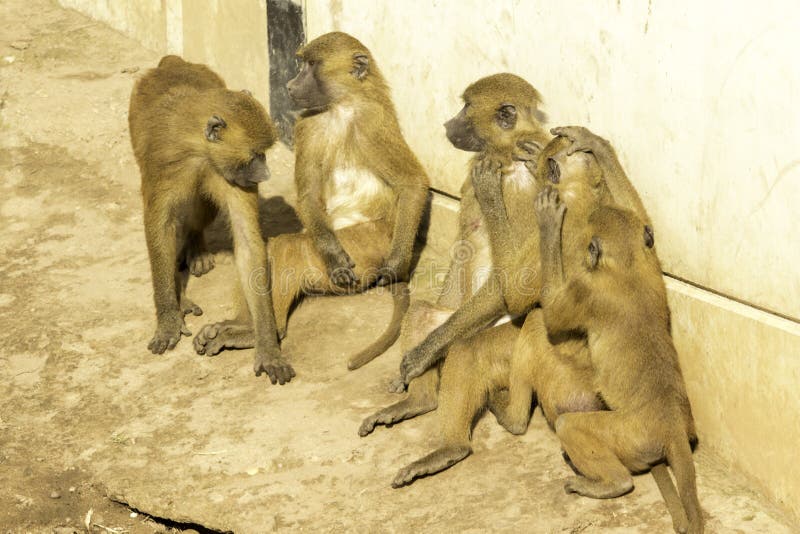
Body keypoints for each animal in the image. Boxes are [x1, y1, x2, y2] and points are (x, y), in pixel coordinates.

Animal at [129, 55, 295, 385]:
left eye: (264, 154)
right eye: (256, 155)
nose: (265, 175)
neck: (200, 149)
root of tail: (172, 62)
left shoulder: (231, 175)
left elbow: (247, 241)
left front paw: (267, 346)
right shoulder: (165, 162)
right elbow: (160, 228)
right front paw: (168, 317)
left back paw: (196, 248)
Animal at [191, 32, 429, 371]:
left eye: (312, 65)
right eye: (301, 63)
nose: (290, 85)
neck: (340, 107)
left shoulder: (373, 120)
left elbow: (412, 183)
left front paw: (396, 267)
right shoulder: (306, 124)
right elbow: (307, 194)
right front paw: (333, 255)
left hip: (366, 250)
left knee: (287, 248)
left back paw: (261, 333)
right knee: (271, 248)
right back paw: (243, 328)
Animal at [535, 186, 703, 534]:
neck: (626, 265)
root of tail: (672, 425)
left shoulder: (584, 289)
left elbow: (552, 315)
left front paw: (548, 223)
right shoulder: (651, 263)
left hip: (629, 434)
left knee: (568, 424)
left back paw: (614, 484)